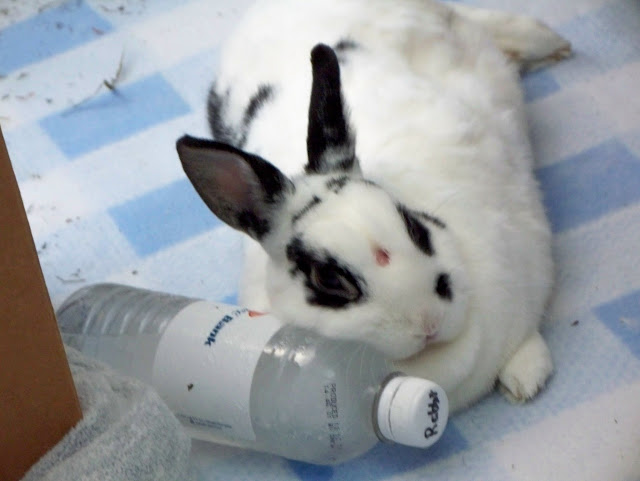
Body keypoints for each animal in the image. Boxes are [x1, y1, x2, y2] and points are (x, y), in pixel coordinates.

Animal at [176, 0, 571, 412]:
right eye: (327, 279)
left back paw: (550, 43)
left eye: (415, 226)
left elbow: (525, 332)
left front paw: (526, 378)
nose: (428, 322)